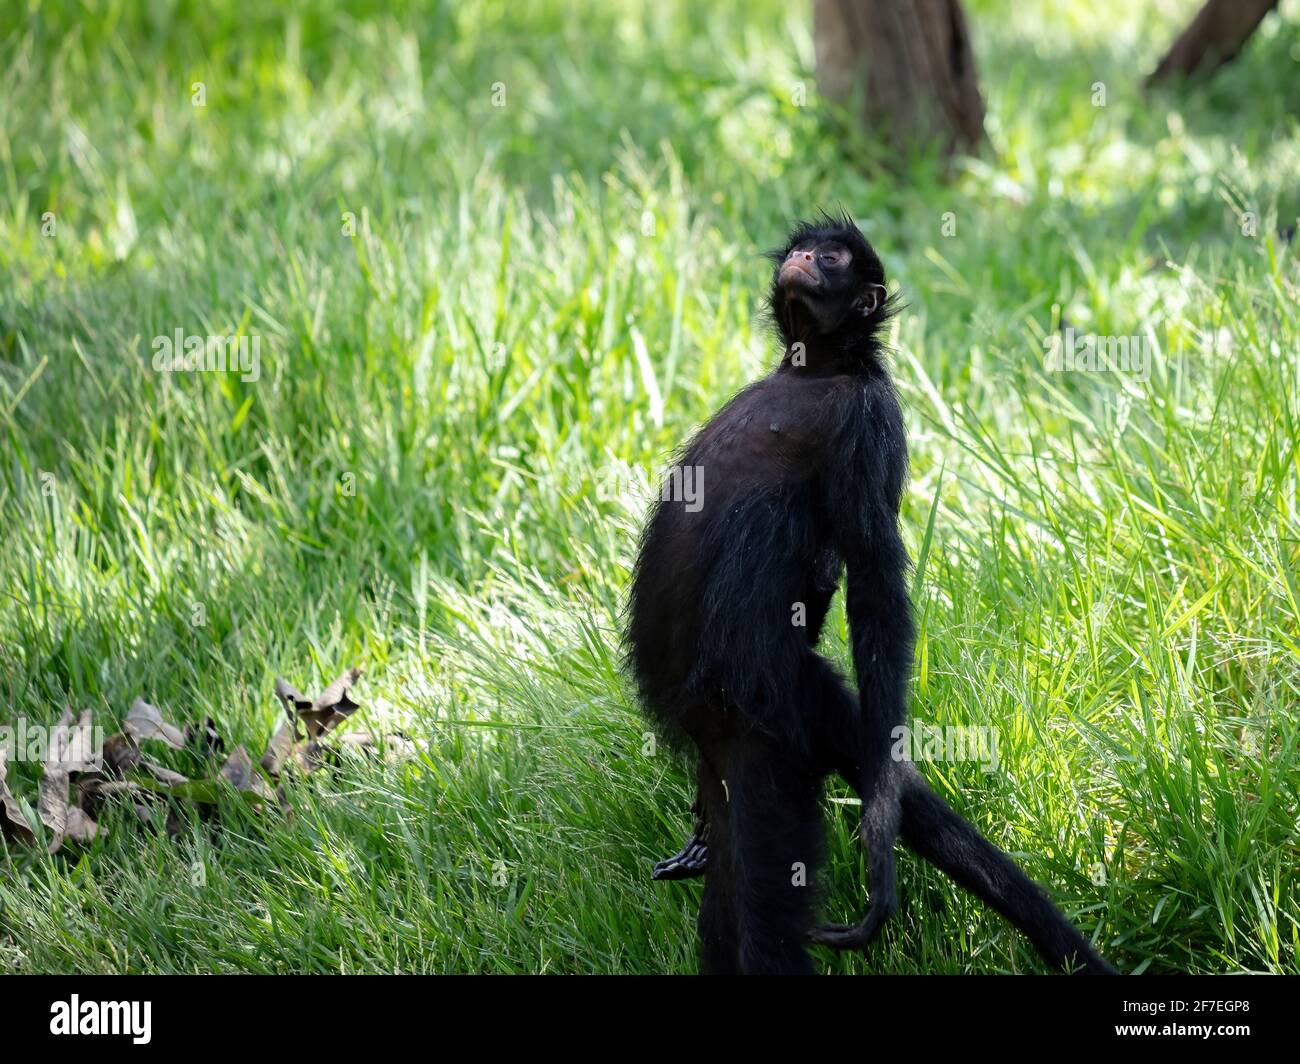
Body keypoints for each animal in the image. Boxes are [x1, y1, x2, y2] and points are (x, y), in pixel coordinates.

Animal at [625, 213, 1115, 975]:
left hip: (767, 736)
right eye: (804, 249)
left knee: (763, 907)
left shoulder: (869, 418)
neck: (818, 370)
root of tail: (795, 683)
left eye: (830, 257)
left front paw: (879, 848)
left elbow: (875, 586)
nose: (801, 257)